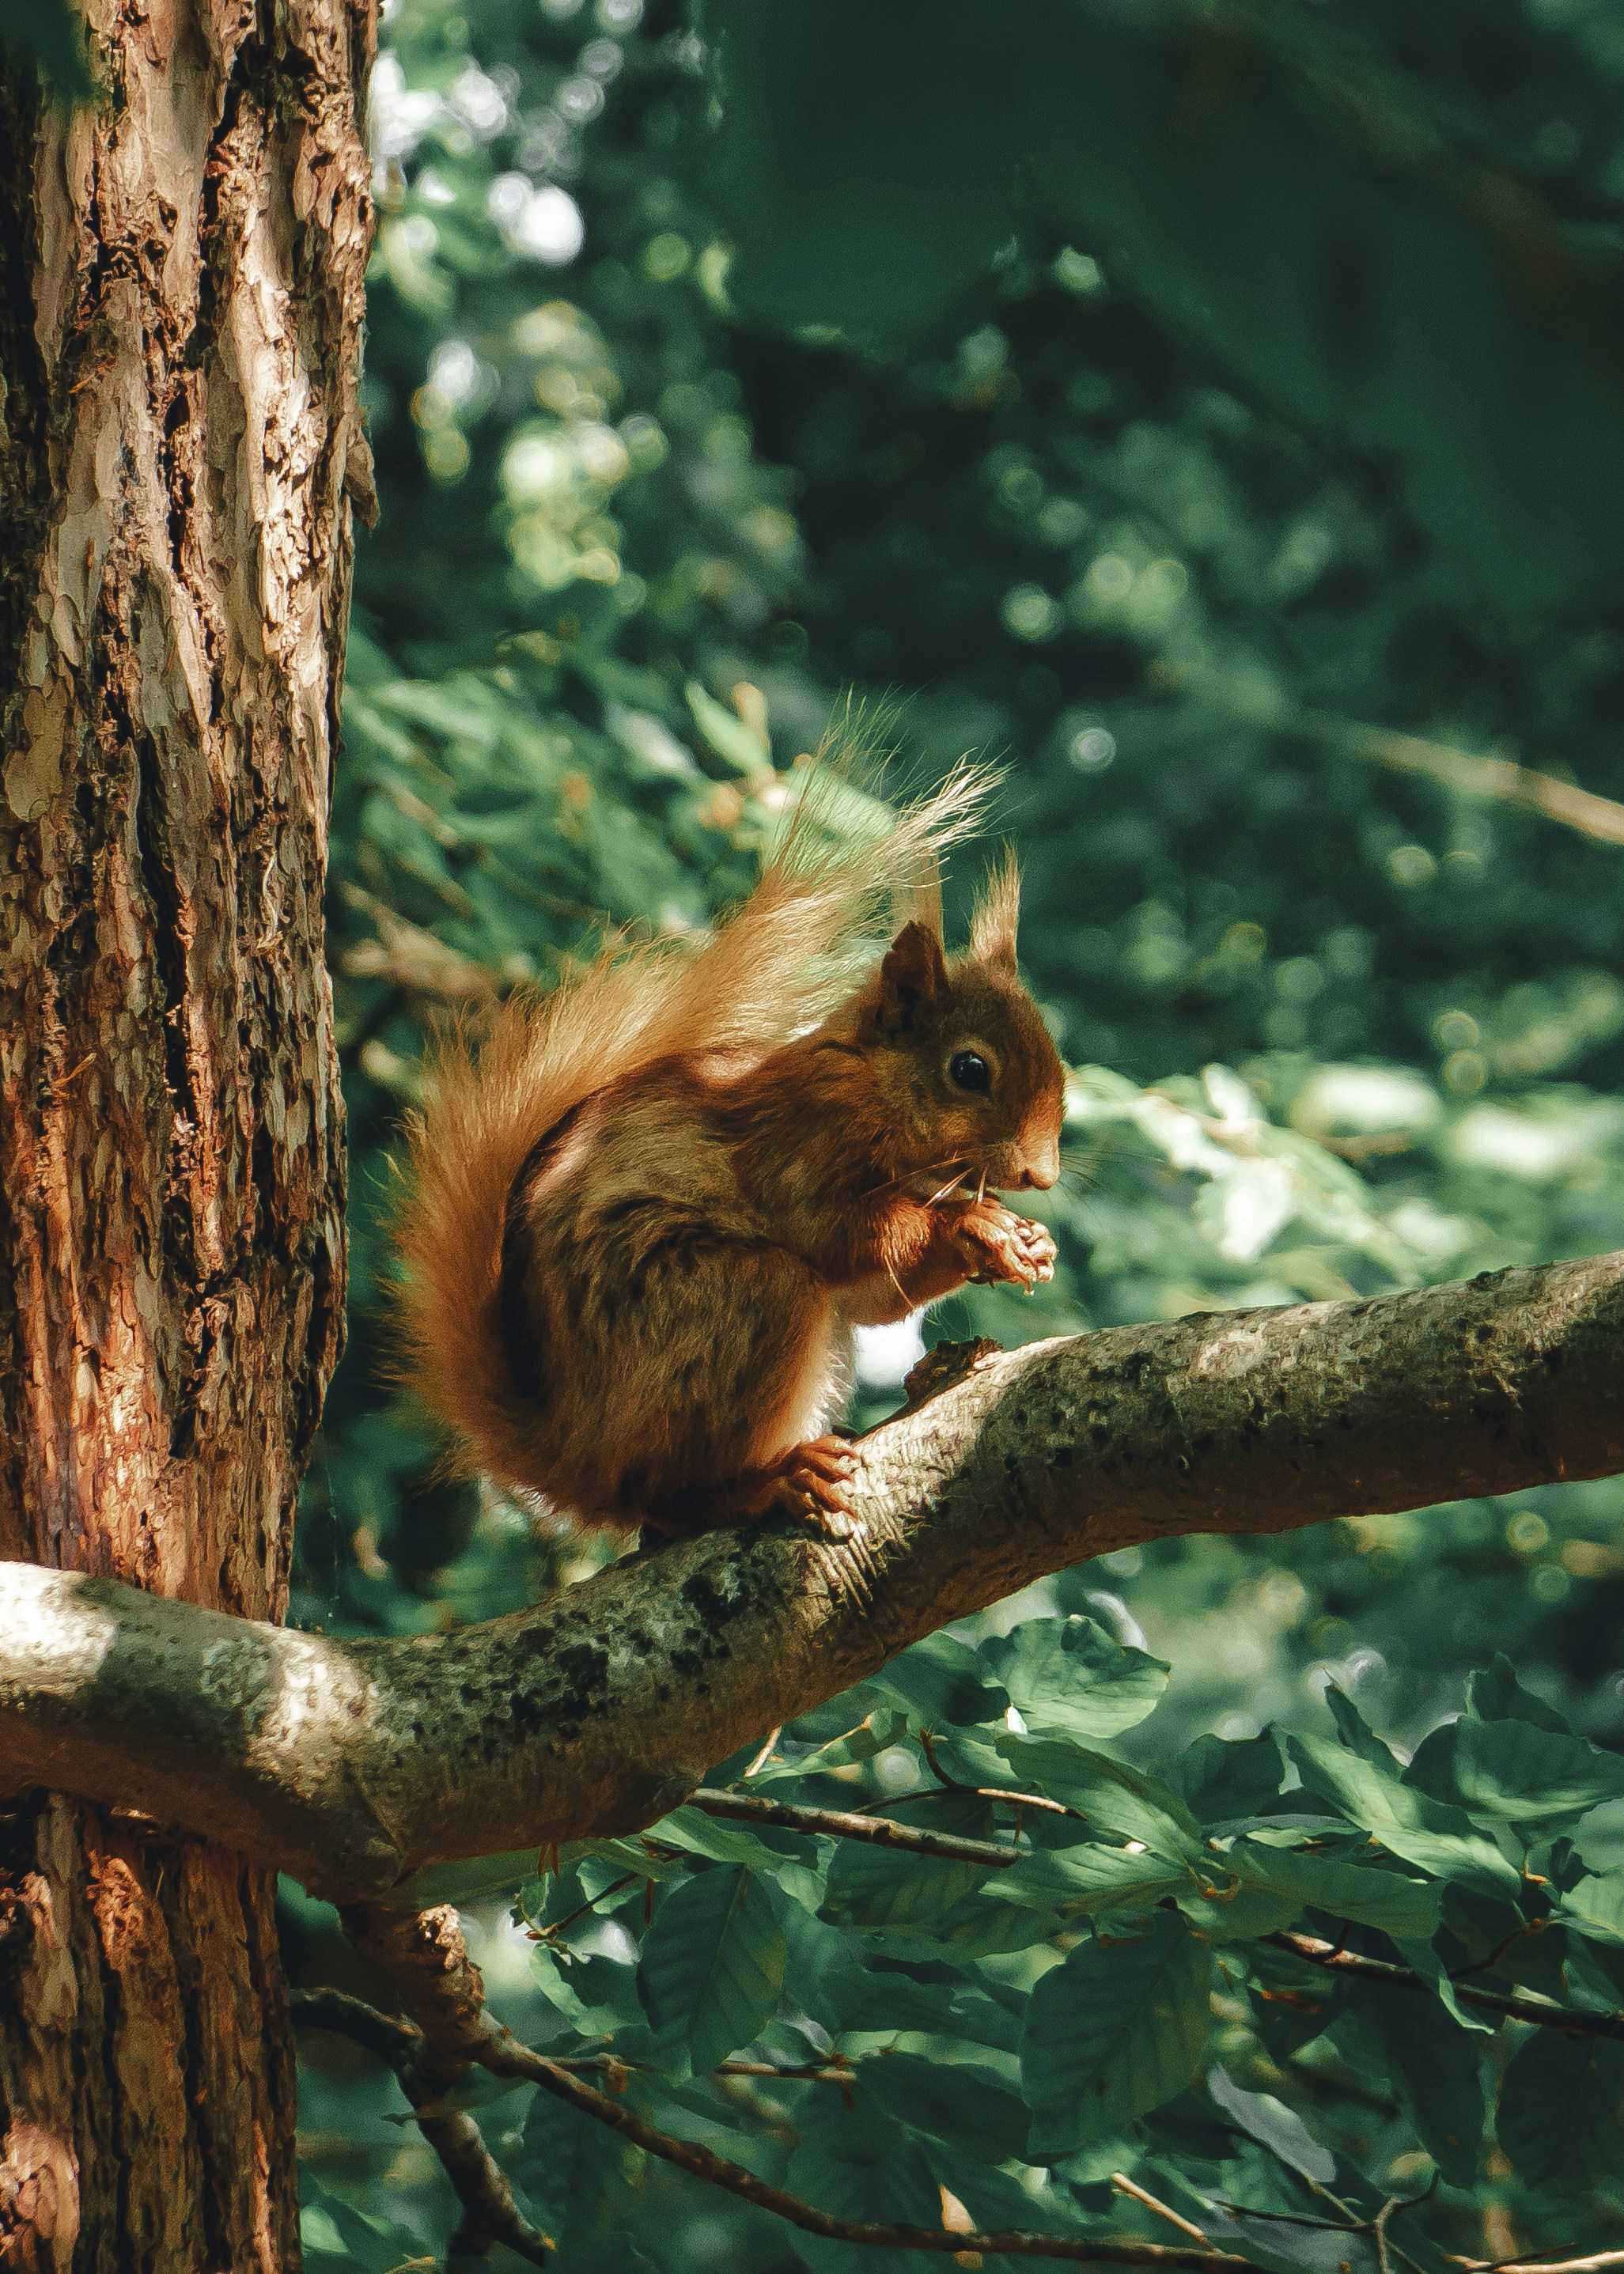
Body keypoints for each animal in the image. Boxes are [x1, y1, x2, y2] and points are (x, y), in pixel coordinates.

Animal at [391, 764, 1065, 1543]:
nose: (1041, 1174)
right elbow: (842, 1235)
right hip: (730, 1305)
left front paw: (1026, 1240)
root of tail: (574, 1458)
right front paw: (973, 1224)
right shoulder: (795, 1146)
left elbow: (871, 1297)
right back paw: (770, 1481)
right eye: (969, 1069)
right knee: (669, 1493)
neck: (866, 1082)